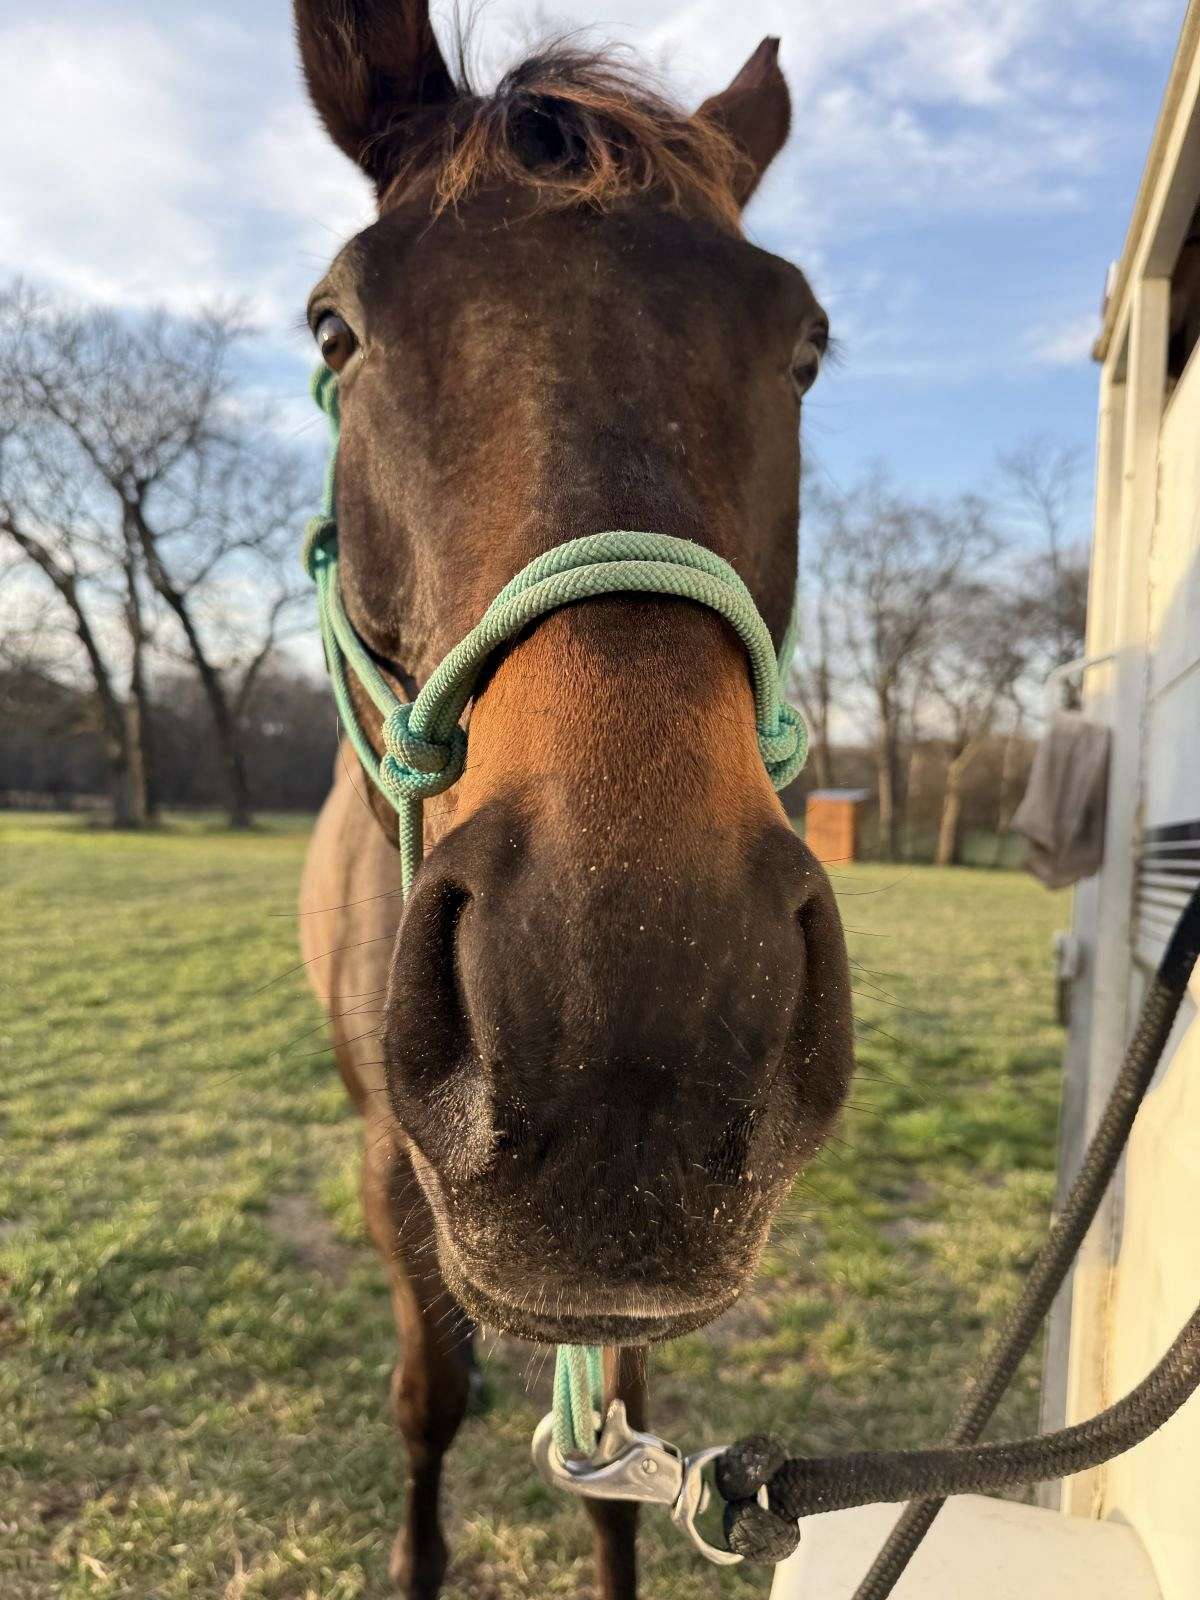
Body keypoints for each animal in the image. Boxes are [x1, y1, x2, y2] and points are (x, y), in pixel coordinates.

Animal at [293, 3, 854, 1594]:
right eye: (337, 328)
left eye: (805, 344)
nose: (631, 992)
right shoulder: (387, 1164)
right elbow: (426, 1399)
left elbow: (614, 1460)